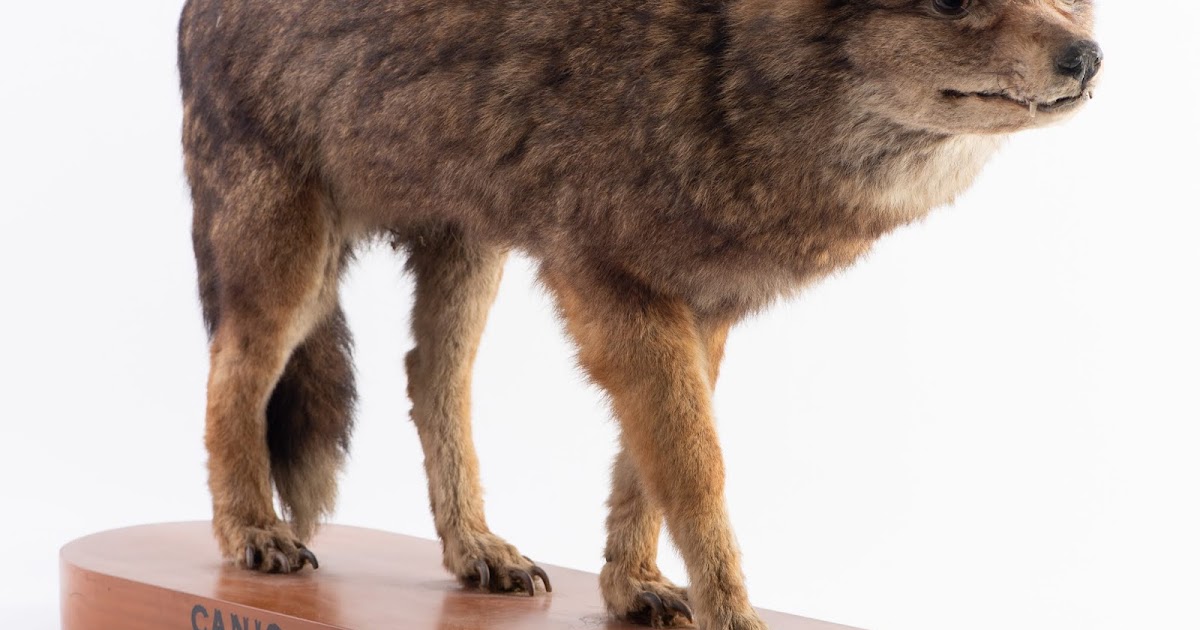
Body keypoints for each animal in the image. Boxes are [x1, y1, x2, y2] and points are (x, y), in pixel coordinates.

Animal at [177, 0, 1100, 627]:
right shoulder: (613, 289)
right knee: (231, 372)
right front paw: (734, 614)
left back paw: (476, 550)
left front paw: (636, 587)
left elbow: (646, 467)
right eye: (950, 1)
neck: (718, 58)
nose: (1086, 55)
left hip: (469, 247)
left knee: (428, 377)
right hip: (290, 260)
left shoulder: (699, 308)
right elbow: (694, 469)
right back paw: (252, 531)